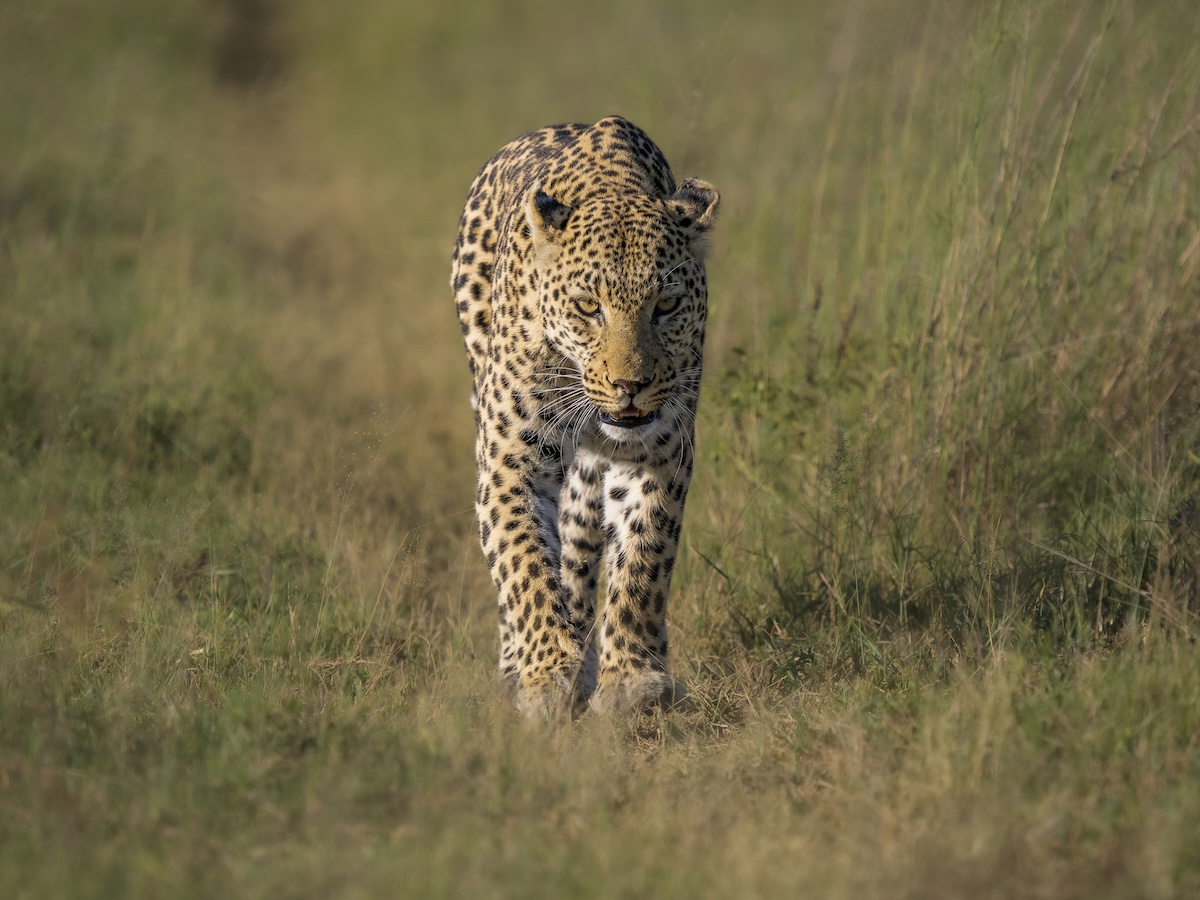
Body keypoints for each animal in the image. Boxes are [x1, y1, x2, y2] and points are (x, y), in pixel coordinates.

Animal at [450, 115, 719, 719]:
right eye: (588, 307)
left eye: (666, 306)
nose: (630, 386)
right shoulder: (511, 460)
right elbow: (524, 562)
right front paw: (546, 673)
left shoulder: (659, 454)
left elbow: (643, 560)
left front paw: (631, 680)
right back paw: (523, 664)